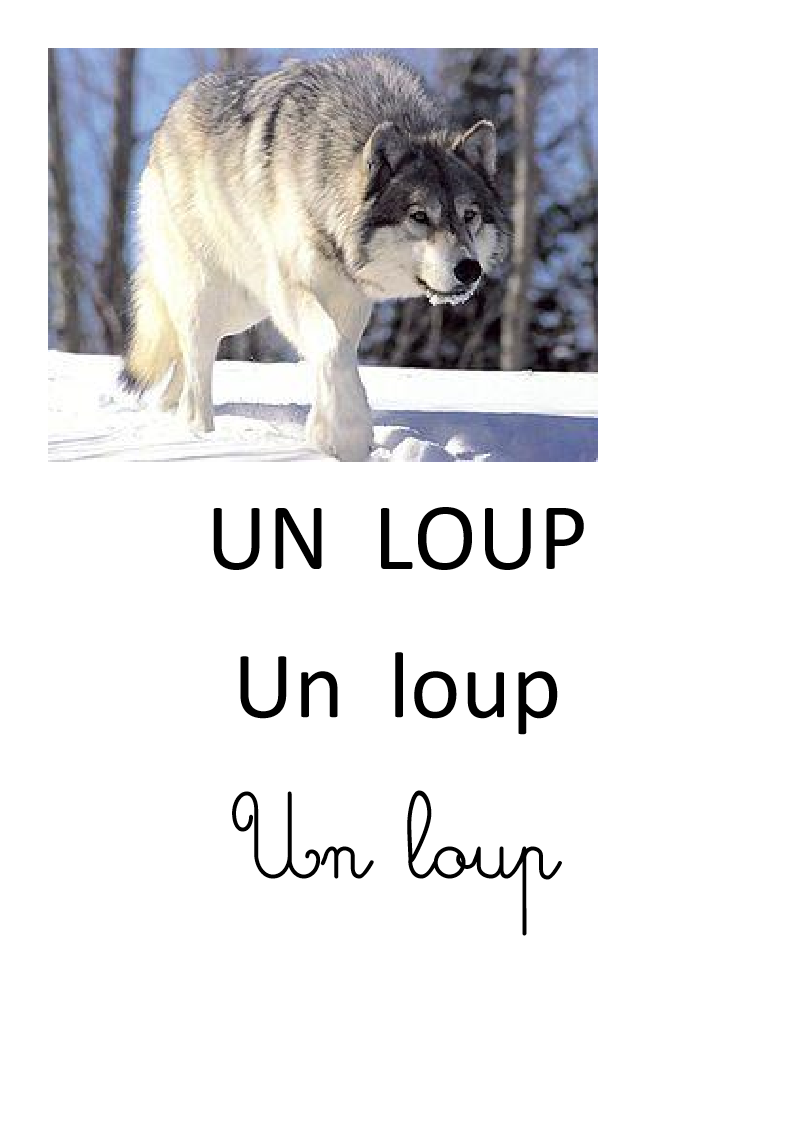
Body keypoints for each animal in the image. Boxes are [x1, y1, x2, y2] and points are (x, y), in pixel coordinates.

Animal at [121, 53, 510, 461]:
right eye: (419, 216)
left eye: (469, 216)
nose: (470, 269)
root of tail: (168, 120)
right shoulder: (289, 289)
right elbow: (333, 348)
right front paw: (347, 435)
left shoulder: (351, 299)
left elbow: (339, 354)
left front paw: (327, 434)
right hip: (213, 300)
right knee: (195, 372)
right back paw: (200, 434)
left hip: (242, 311)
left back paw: (170, 410)